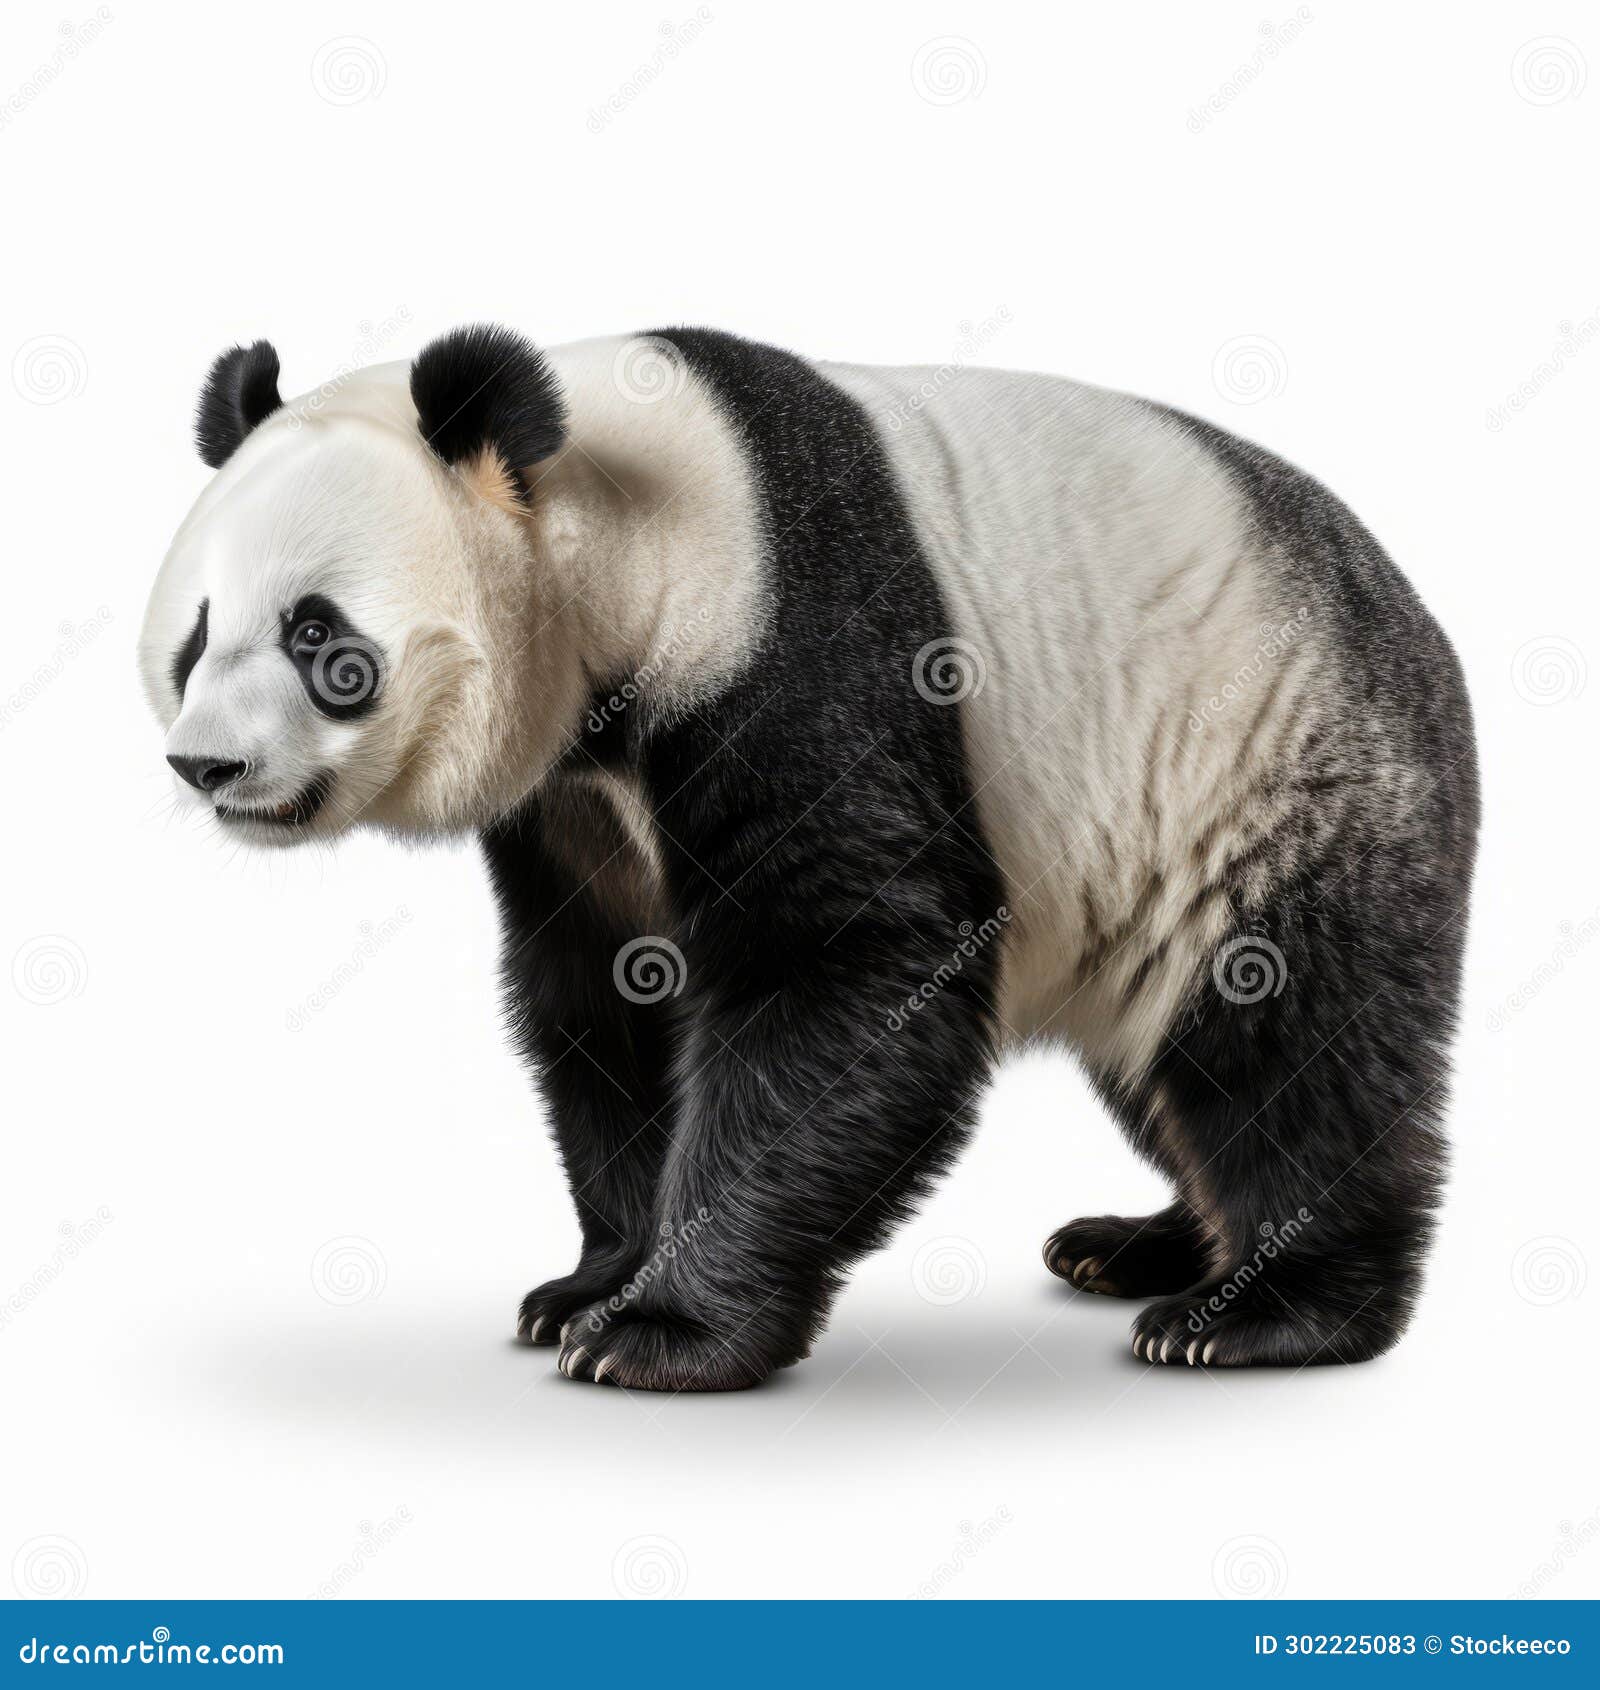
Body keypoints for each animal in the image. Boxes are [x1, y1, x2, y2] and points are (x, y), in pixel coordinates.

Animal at [139, 324, 1479, 1390]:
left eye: (322, 640)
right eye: (195, 637)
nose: (207, 766)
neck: (625, 517)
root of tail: (1411, 609)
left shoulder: (797, 645)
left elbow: (852, 966)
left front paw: (663, 1334)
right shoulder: (572, 805)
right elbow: (604, 997)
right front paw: (591, 1288)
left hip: (1264, 758)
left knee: (1284, 1037)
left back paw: (1264, 1311)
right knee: (1162, 1061)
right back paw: (1137, 1242)